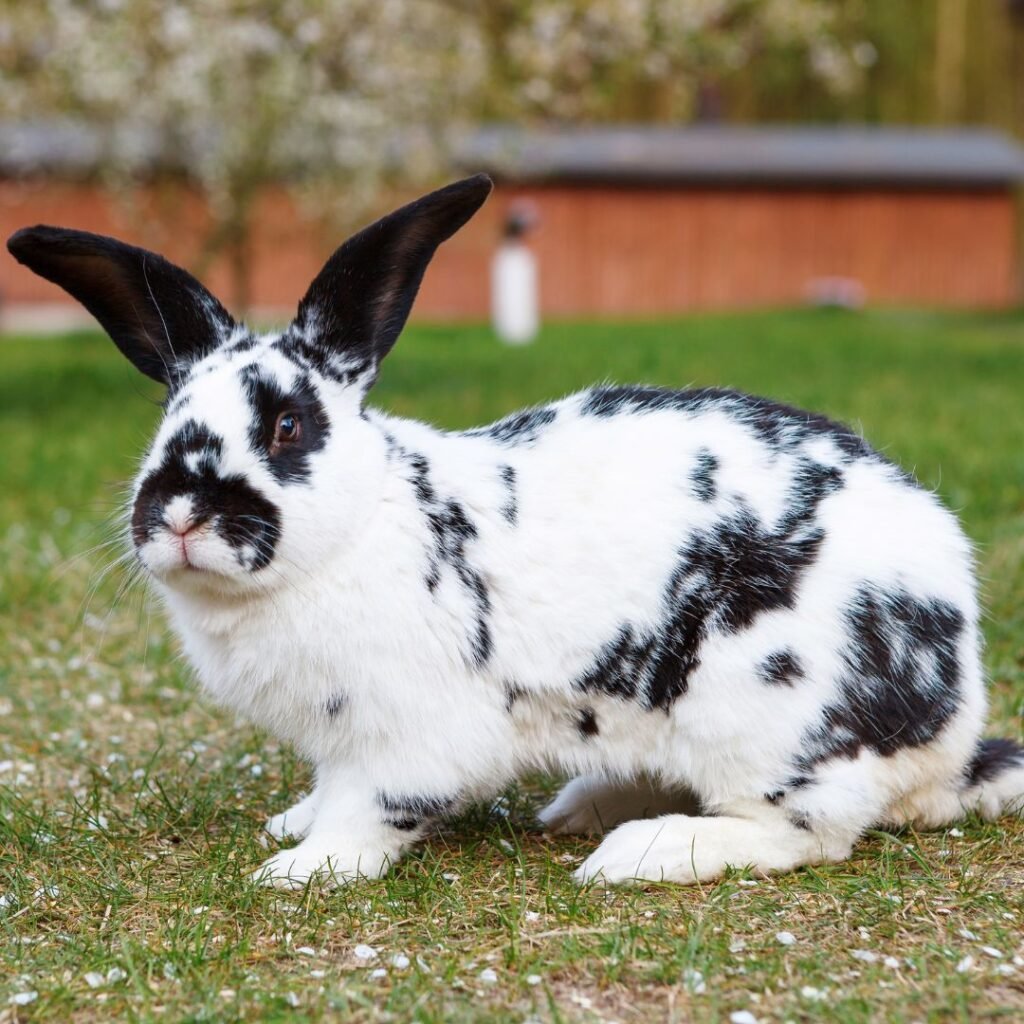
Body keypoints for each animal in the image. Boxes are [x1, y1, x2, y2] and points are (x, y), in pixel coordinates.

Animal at [8, 174, 1024, 890]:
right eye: (166, 421)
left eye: (288, 427)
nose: (179, 513)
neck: (360, 529)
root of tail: (951, 723)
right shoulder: (340, 739)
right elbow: (329, 789)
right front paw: (291, 827)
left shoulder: (407, 735)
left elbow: (371, 807)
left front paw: (302, 868)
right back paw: (581, 807)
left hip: (767, 721)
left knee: (803, 834)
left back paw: (639, 853)